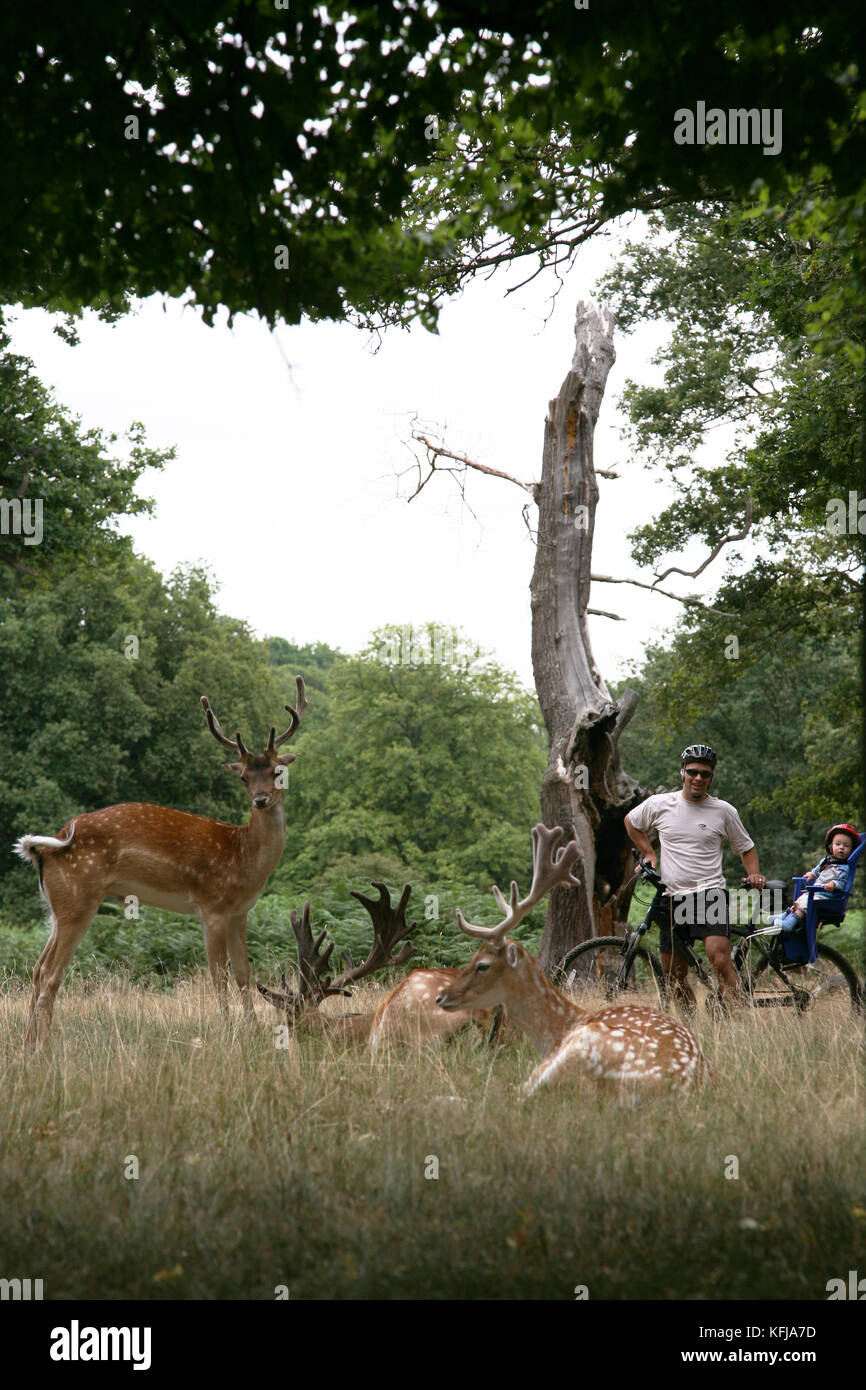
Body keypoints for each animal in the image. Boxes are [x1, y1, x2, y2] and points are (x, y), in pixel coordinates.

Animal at [14, 679, 307, 1050]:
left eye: (277, 771)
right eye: (243, 777)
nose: (261, 799)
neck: (244, 856)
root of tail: (44, 849)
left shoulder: (240, 911)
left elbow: (244, 973)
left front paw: (253, 1031)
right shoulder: (211, 905)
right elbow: (219, 974)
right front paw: (227, 1032)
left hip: (56, 906)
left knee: (37, 969)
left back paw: (26, 1047)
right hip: (78, 899)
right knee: (51, 974)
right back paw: (44, 1049)